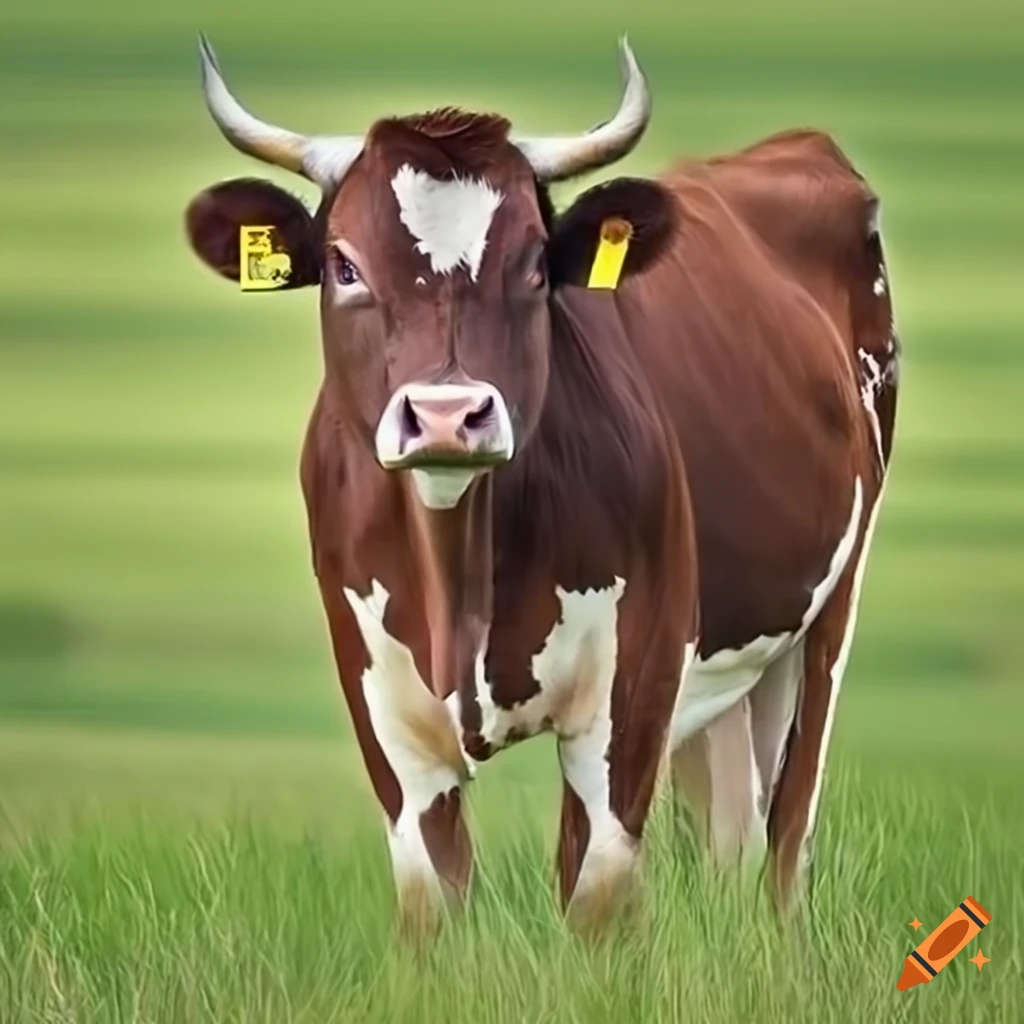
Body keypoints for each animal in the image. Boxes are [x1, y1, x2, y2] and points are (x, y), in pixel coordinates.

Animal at [183, 33, 898, 936]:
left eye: (532, 266)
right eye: (344, 265)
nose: (447, 415)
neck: (461, 583)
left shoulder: (629, 699)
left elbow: (594, 900)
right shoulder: (384, 716)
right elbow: (434, 902)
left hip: (828, 614)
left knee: (786, 835)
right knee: (732, 828)